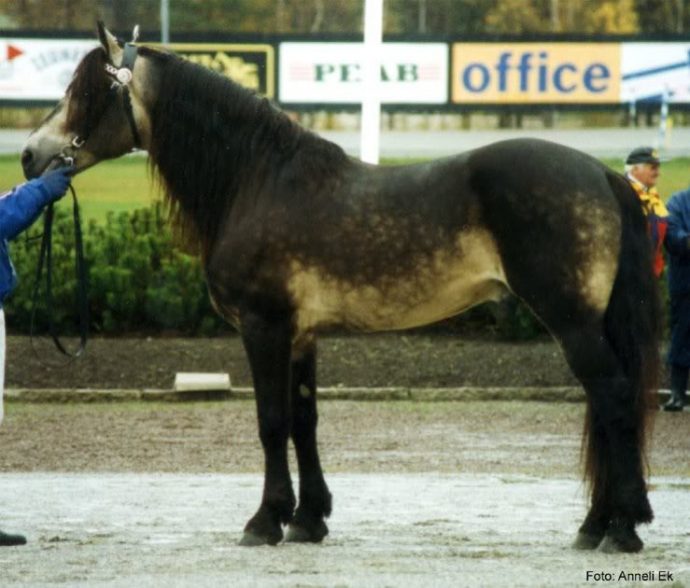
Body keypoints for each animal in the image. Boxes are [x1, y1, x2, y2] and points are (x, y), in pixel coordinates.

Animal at [22, 24, 660, 552]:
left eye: (86, 93)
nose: (30, 155)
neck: (259, 182)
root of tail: (602, 174)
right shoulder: (302, 335)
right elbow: (305, 421)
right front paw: (308, 520)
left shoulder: (265, 328)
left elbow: (271, 422)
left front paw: (265, 521)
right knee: (604, 406)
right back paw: (594, 527)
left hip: (573, 321)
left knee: (613, 397)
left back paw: (623, 528)